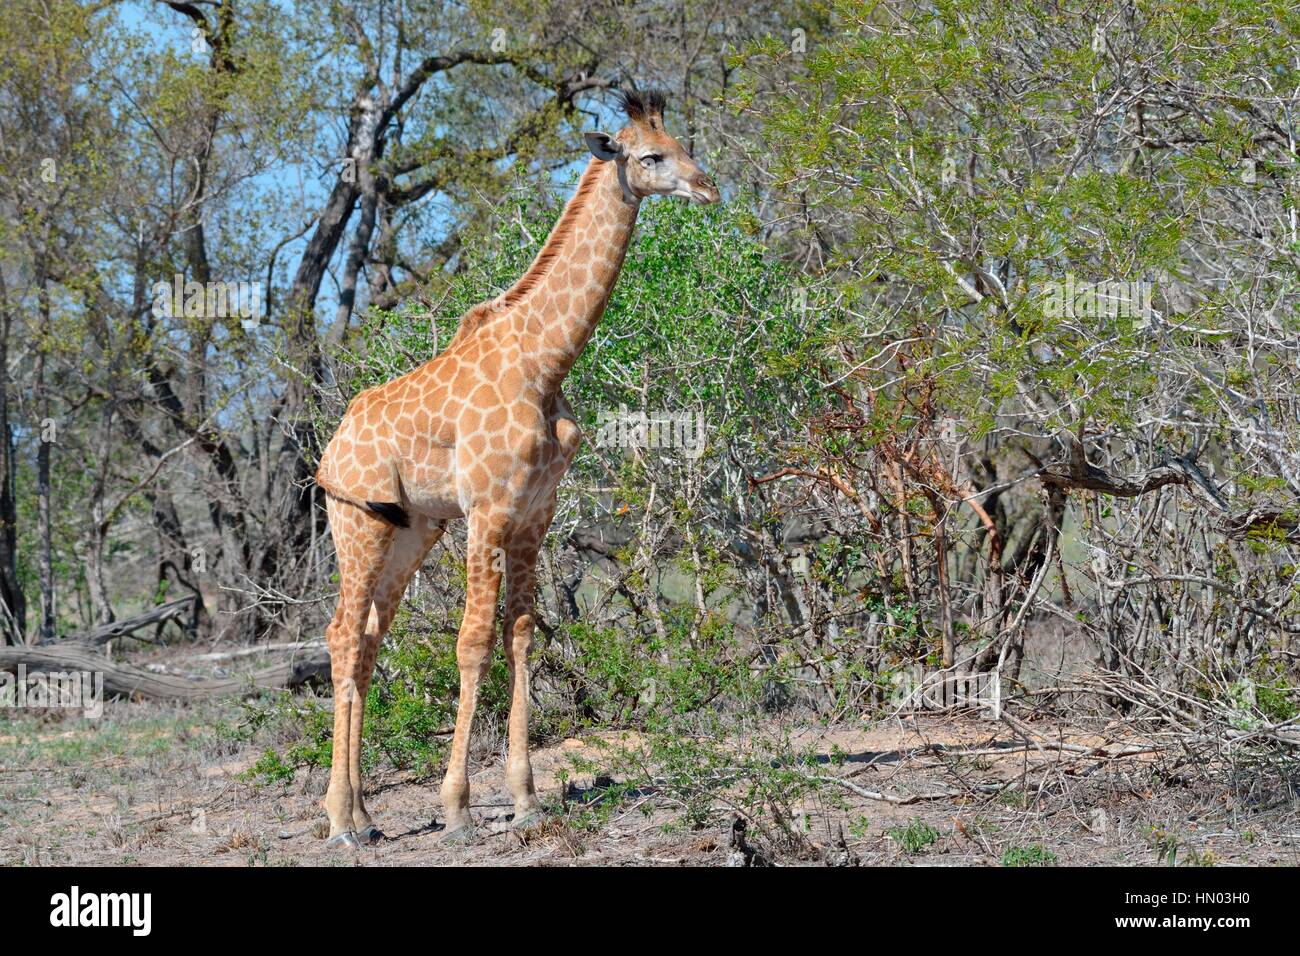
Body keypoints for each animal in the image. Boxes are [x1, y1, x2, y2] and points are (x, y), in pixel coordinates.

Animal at [313, 89, 719, 848]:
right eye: (652, 156)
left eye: (684, 144)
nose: (707, 187)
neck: (547, 360)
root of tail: (331, 450)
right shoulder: (489, 509)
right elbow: (472, 643)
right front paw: (457, 807)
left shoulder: (535, 514)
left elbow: (522, 635)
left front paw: (527, 798)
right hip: (357, 524)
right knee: (341, 637)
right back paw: (338, 822)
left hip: (412, 531)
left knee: (369, 642)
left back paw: (365, 815)